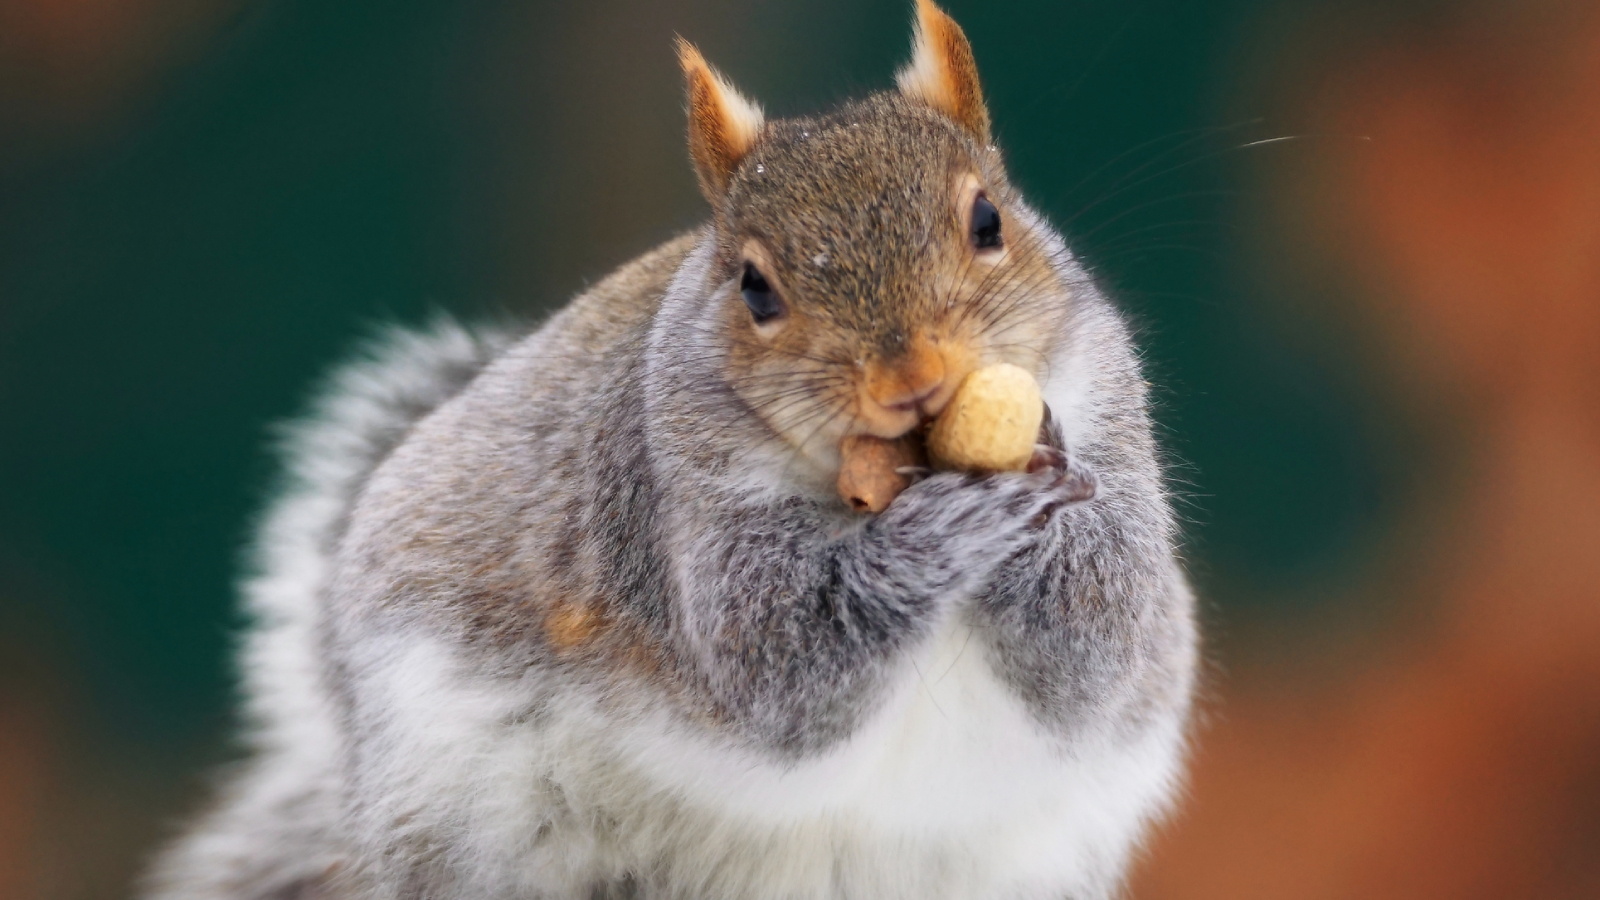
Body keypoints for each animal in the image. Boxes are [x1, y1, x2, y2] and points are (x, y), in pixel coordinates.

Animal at [143, 2, 1197, 898]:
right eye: (754, 287)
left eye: (988, 222)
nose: (912, 380)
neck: (878, 474)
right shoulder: (664, 491)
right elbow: (772, 662)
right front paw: (939, 536)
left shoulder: (1111, 413)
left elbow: (1099, 639)